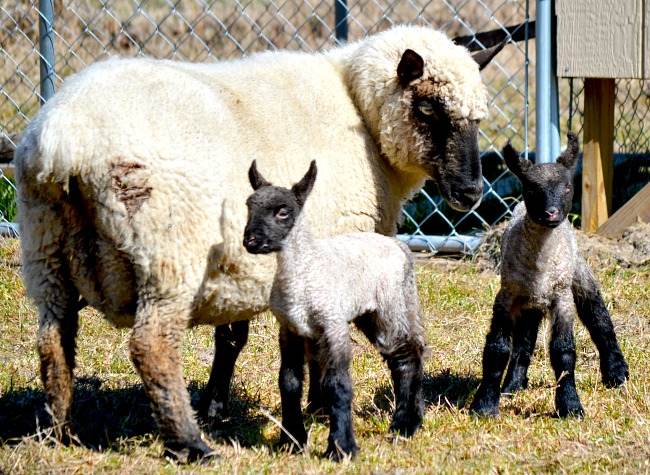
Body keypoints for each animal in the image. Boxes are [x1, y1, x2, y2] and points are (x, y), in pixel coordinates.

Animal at [243, 159, 426, 461]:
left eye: (283, 212)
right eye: (248, 207)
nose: (250, 241)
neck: (304, 272)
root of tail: (400, 246)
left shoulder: (333, 324)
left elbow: (336, 385)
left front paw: (342, 448)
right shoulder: (290, 329)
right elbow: (289, 382)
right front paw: (292, 441)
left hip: (389, 303)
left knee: (406, 355)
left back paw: (403, 425)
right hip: (373, 311)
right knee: (409, 351)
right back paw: (415, 418)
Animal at [470, 132, 629, 419]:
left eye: (567, 188)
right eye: (532, 189)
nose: (551, 213)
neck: (540, 267)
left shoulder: (561, 298)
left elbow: (563, 351)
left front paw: (570, 405)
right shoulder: (506, 296)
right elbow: (498, 349)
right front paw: (485, 404)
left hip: (578, 272)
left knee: (598, 316)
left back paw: (616, 372)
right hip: (529, 303)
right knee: (524, 342)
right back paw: (512, 385)